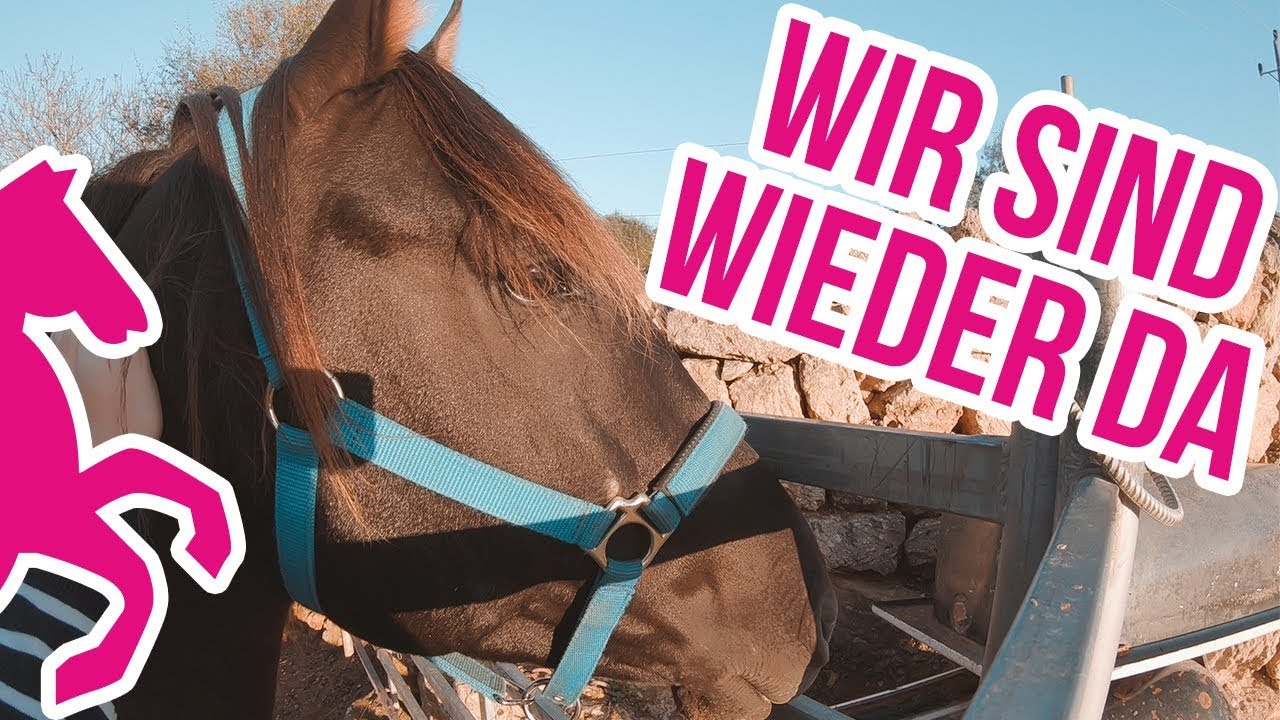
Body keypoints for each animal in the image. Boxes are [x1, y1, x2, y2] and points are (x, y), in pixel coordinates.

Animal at [0, 152, 243, 719]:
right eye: (69, 241)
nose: (137, 319)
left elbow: (146, 468)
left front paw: (209, 546)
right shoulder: (54, 516)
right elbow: (137, 573)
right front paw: (80, 674)